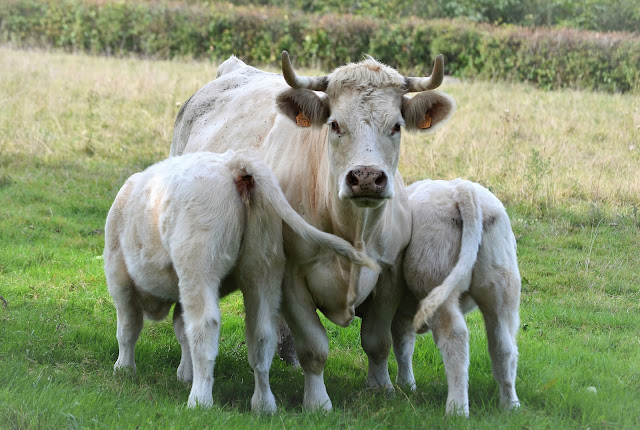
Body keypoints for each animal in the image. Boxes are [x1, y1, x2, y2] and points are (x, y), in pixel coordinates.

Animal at [103, 150, 377, 412]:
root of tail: (234, 162)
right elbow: (181, 329)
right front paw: (183, 374)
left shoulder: (119, 277)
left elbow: (128, 327)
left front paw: (124, 369)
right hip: (263, 267)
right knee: (261, 334)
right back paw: (263, 405)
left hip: (199, 265)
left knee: (205, 327)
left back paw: (200, 401)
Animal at [170, 51, 456, 410]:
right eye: (334, 124)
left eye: (396, 126)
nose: (365, 177)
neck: (352, 233)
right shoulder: (291, 276)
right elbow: (314, 347)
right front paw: (317, 401)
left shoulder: (390, 274)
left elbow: (377, 340)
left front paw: (381, 386)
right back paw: (186, 371)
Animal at [392, 178, 521, 417]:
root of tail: (461, 188)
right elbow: (404, 343)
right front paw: (407, 385)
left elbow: (401, 345)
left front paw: (405, 384)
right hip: (501, 286)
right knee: (503, 345)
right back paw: (510, 404)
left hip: (436, 280)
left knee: (455, 337)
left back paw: (457, 409)